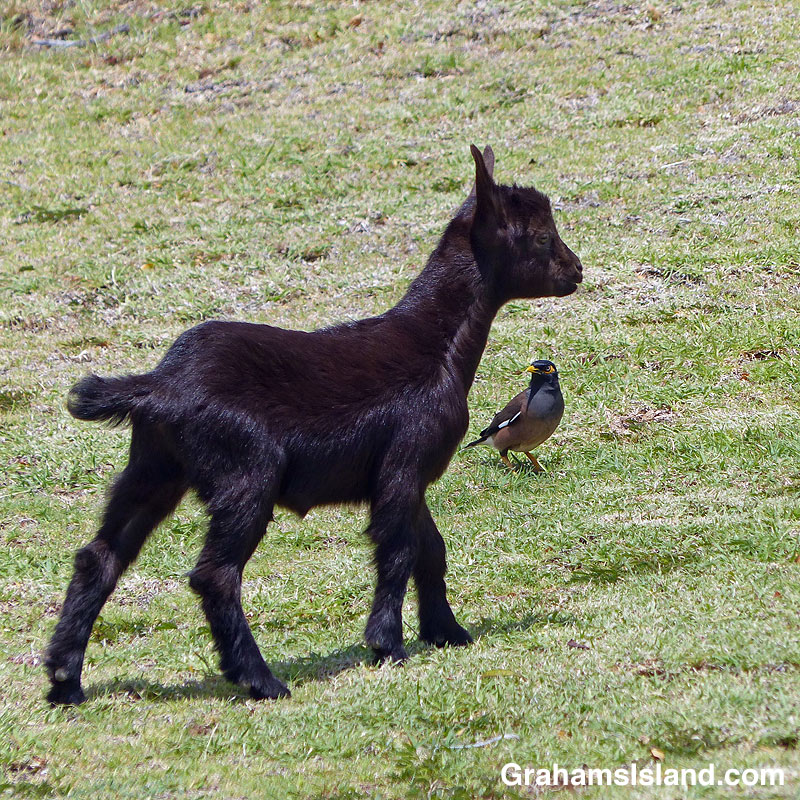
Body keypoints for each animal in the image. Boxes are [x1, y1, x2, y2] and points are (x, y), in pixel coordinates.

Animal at [45, 145, 583, 704]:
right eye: (541, 236)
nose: (577, 271)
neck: (436, 348)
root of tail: (159, 385)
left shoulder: (408, 476)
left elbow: (431, 549)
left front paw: (447, 632)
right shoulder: (403, 462)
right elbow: (397, 549)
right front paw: (387, 645)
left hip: (155, 468)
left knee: (99, 557)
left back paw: (65, 681)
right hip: (245, 471)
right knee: (215, 575)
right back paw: (259, 679)